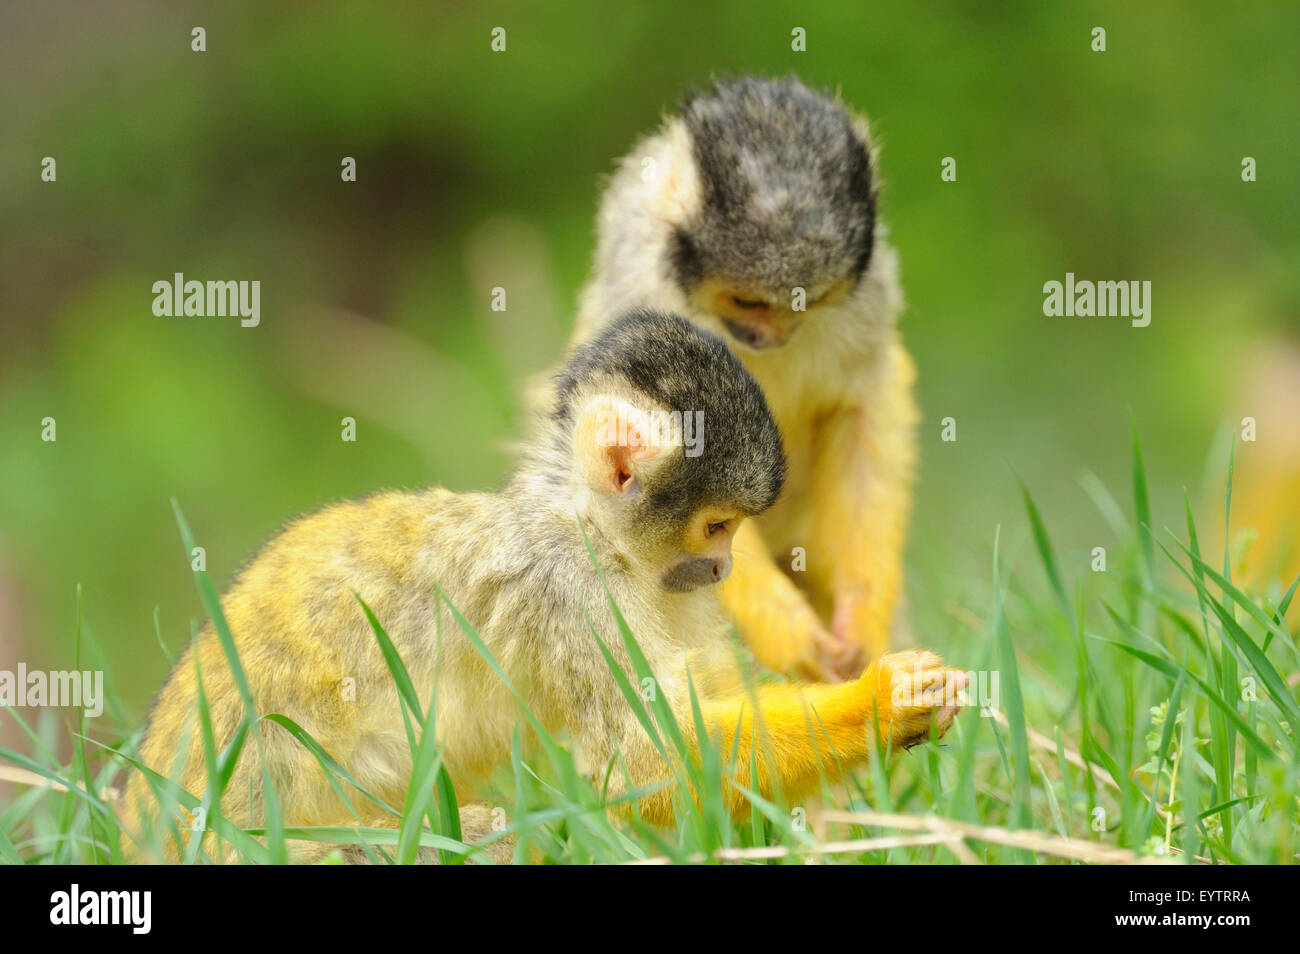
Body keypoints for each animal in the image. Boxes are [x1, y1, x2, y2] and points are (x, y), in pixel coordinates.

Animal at [125, 310, 965, 863]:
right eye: (718, 526)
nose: (724, 569)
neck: (594, 533)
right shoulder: (568, 590)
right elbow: (644, 763)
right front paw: (882, 703)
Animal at [561, 76, 917, 681]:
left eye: (807, 300)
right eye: (748, 302)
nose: (769, 335)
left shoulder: (870, 289)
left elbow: (862, 407)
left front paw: (859, 617)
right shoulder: (641, 282)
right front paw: (796, 637)